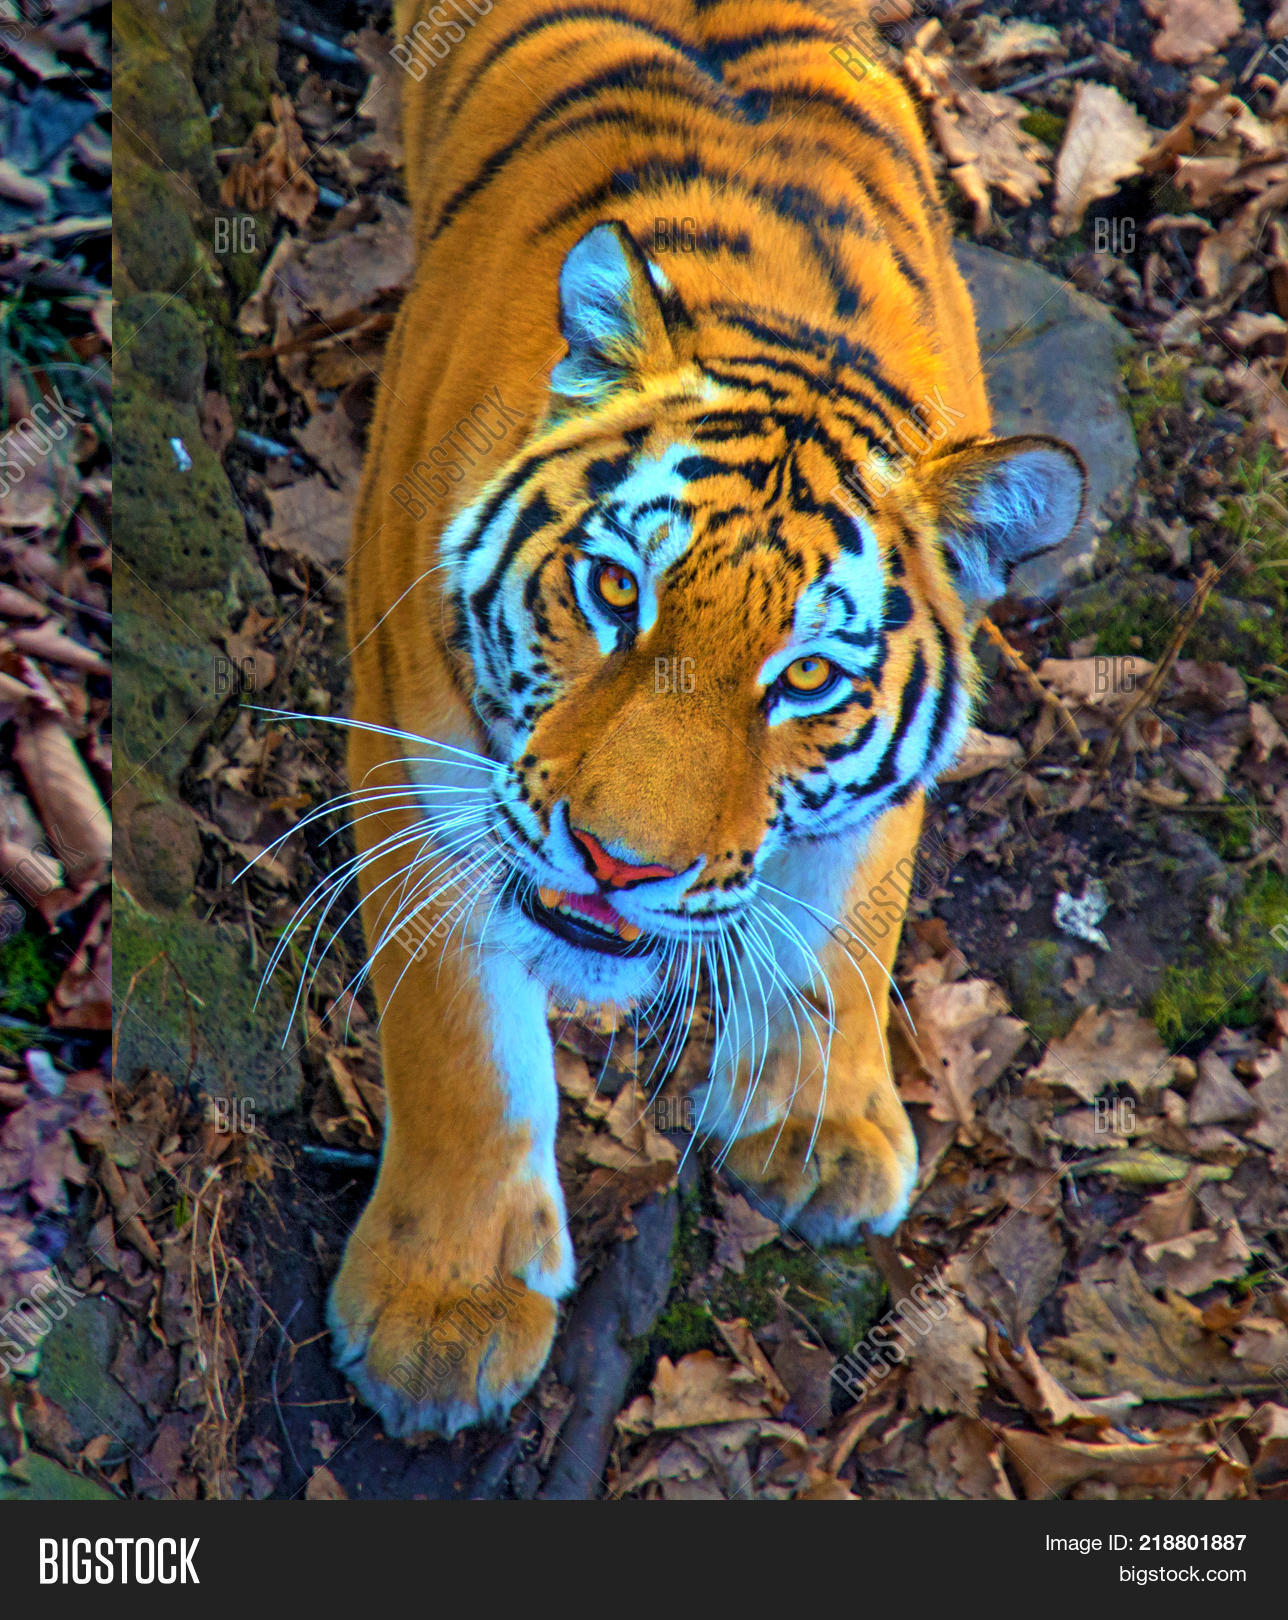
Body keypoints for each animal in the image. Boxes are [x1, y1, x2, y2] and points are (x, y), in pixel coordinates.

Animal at [325, 0, 1085, 1438]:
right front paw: (440, 1313)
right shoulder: (412, 751)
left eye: (807, 679)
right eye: (616, 590)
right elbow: (455, 1036)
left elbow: (846, 923)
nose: (618, 864)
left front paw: (823, 1137)